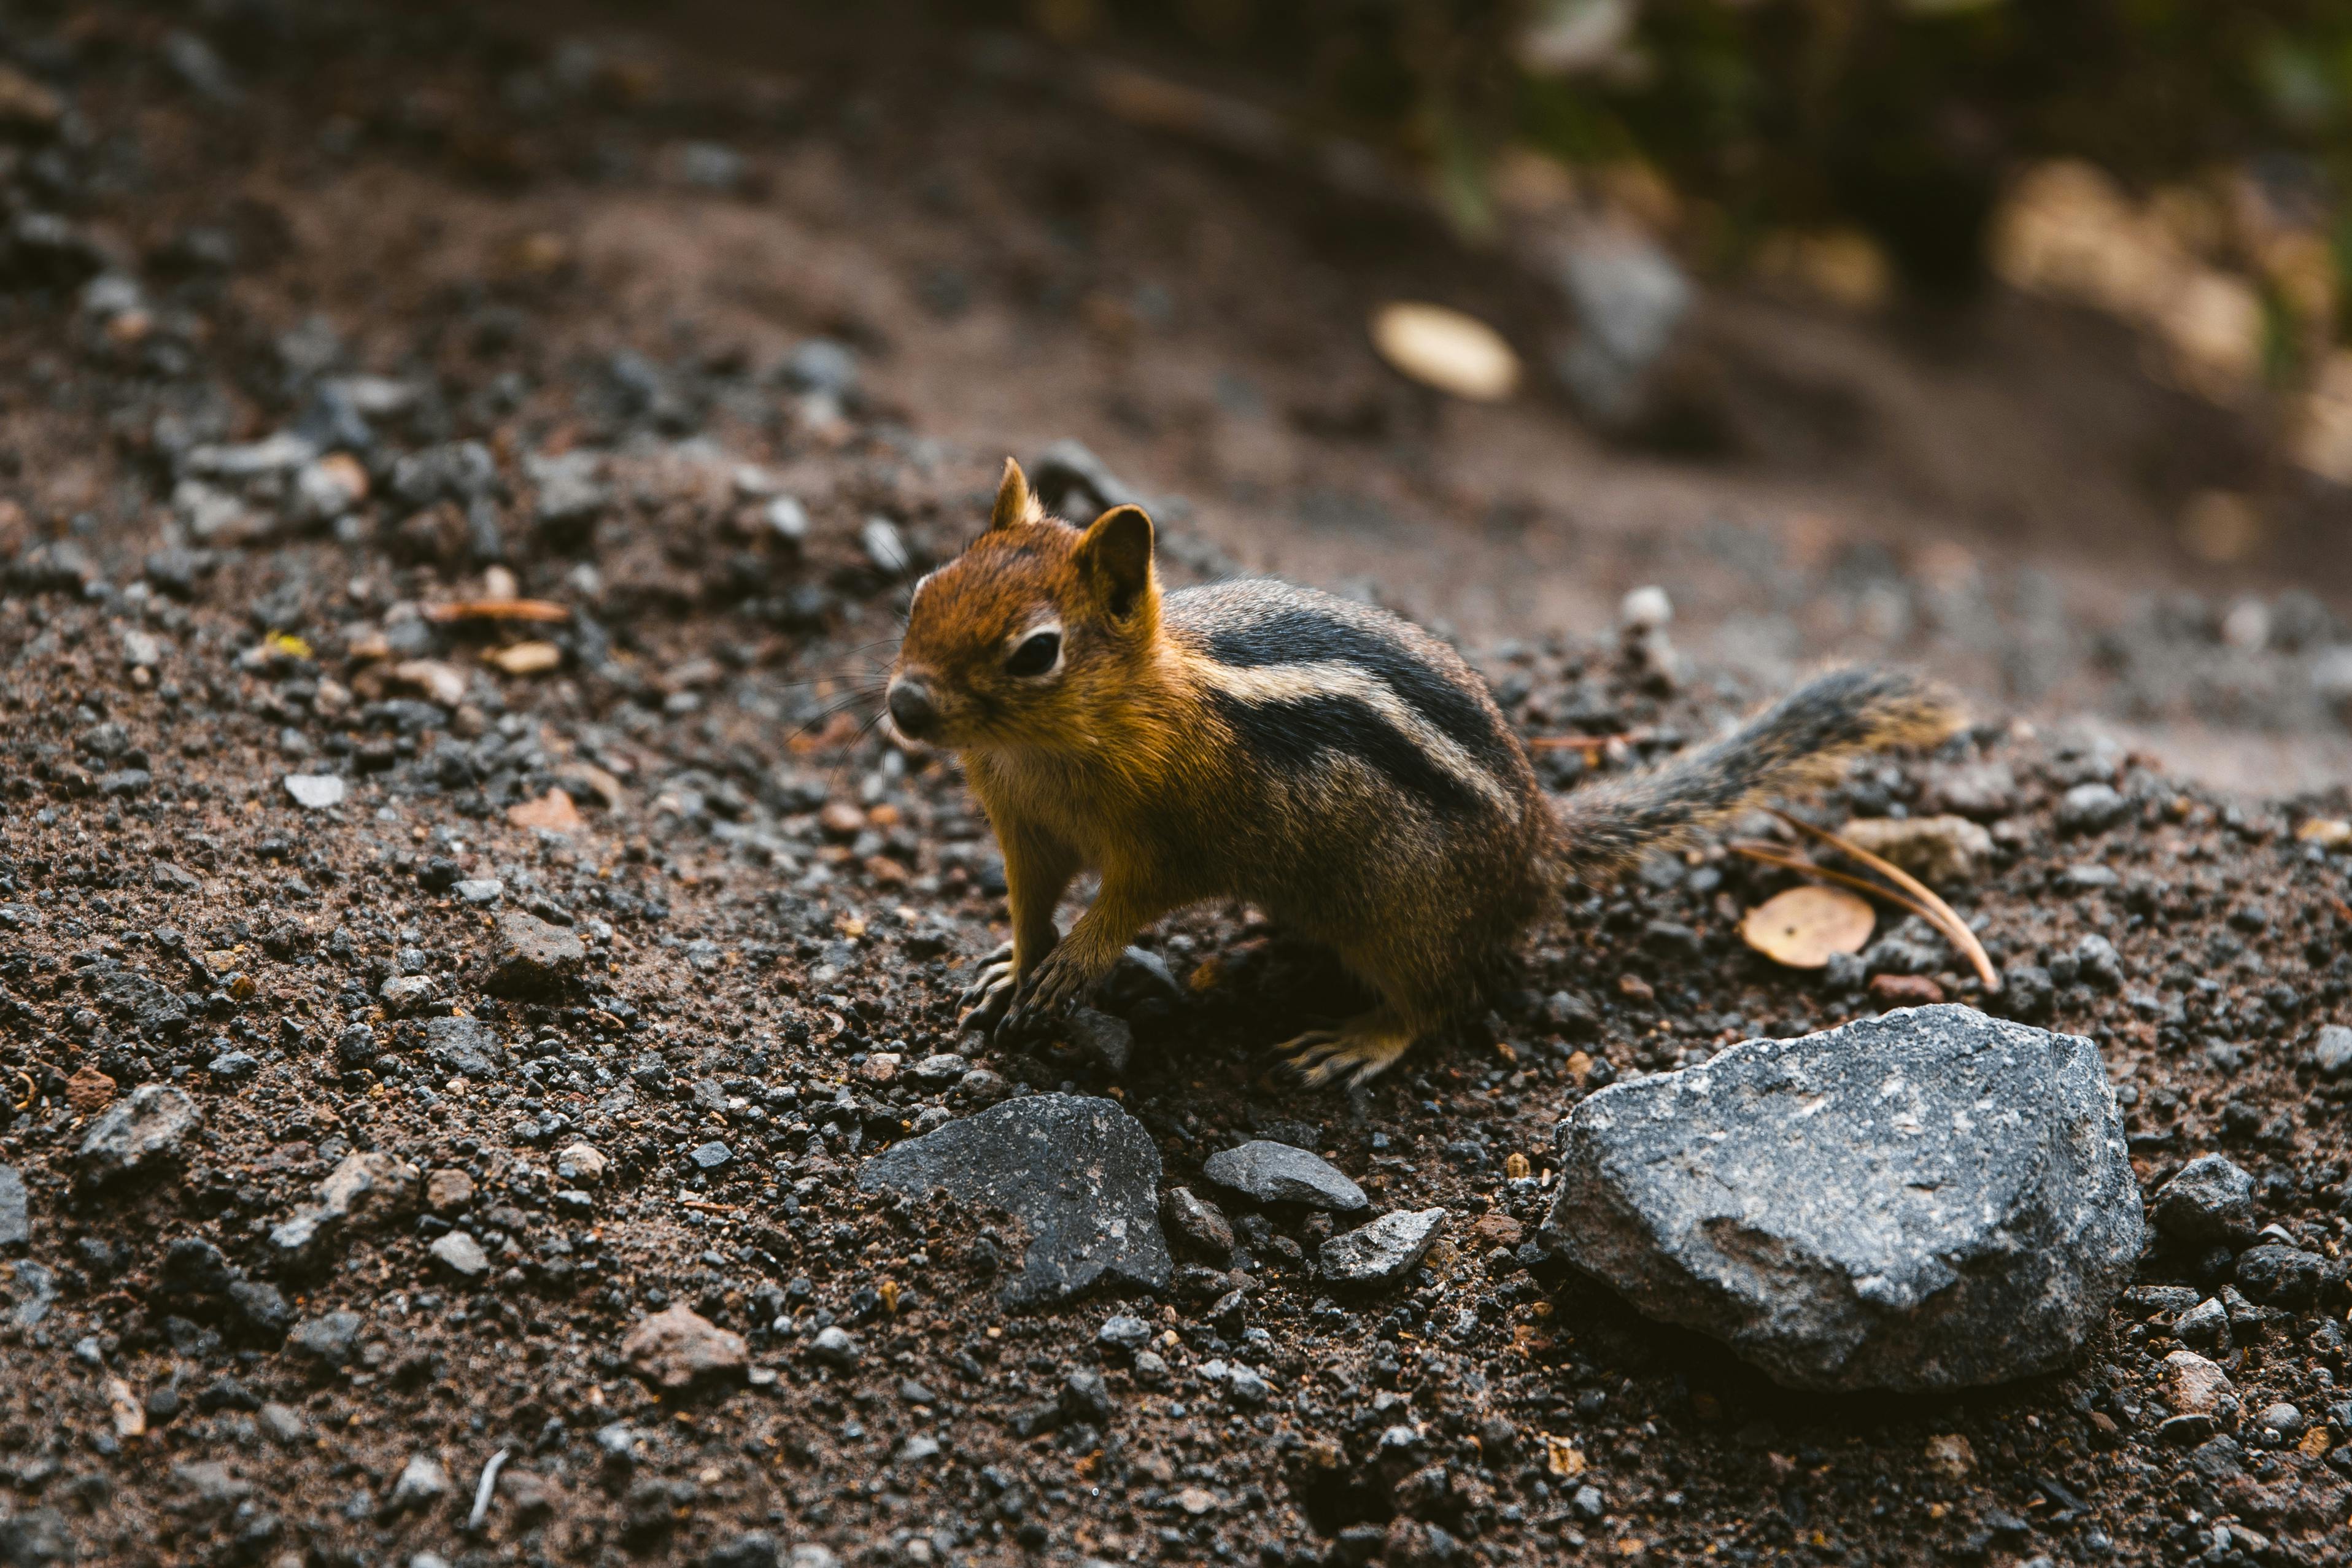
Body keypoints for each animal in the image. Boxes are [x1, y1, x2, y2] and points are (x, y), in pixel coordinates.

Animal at [884, 459, 1959, 1087]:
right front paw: (1015, 965)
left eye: (1036, 652)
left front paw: (1074, 964)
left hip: (1405, 916)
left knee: (1441, 1002)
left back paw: (1358, 1040)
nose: (903, 705)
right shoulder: (1024, 829)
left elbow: (1128, 906)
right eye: (922, 588)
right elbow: (1030, 898)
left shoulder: (1171, 836)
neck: (1054, 746)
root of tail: (1542, 843)